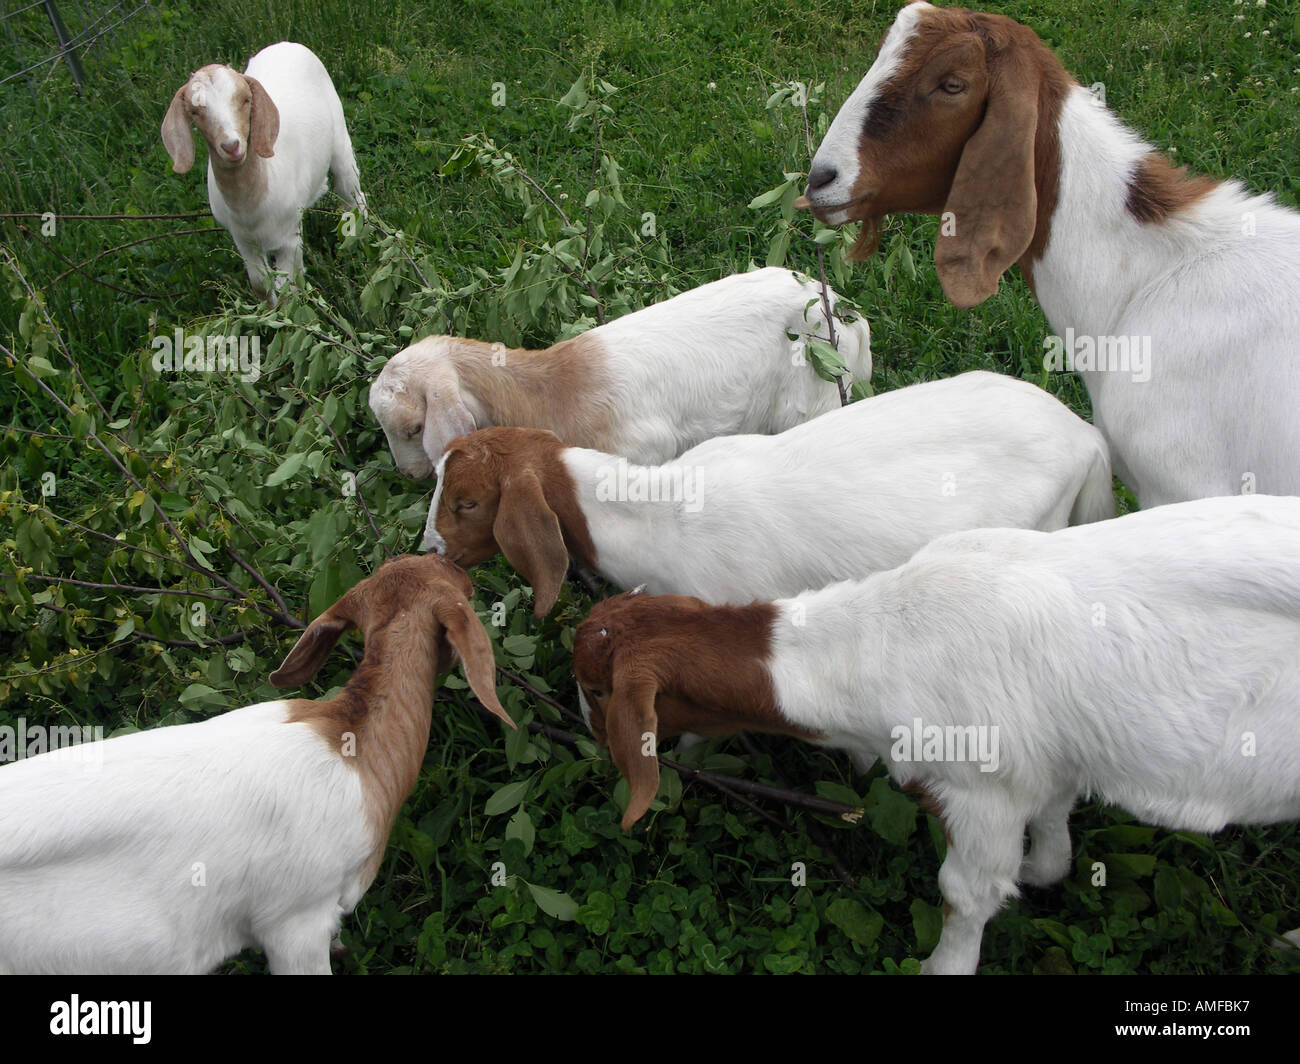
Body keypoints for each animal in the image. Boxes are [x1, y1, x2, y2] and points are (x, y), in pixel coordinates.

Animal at [162, 41, 366, 306]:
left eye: (246, 100)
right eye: (194, 112)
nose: (231, 146)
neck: (250, 206)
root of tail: (286, 44)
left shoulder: (289, 237)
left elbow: (289, 288)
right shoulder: (244, 241)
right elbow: (260, 284)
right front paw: (271, 309)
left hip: (340, 138)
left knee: (351, 194)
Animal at [368, 268, 872, 475]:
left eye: (413, 428)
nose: (408, 476)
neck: (554, 391)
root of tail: (843, 312)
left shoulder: (644, 451)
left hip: (814, 402)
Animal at [573, 494, 1300, 974]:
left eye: (596, 688)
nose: (586, 731)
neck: (887, 636)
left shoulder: (981, 790)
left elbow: (964, 895)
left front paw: (943, 965)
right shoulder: (1047, 755)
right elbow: (1054, 819)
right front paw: (1045, 870)